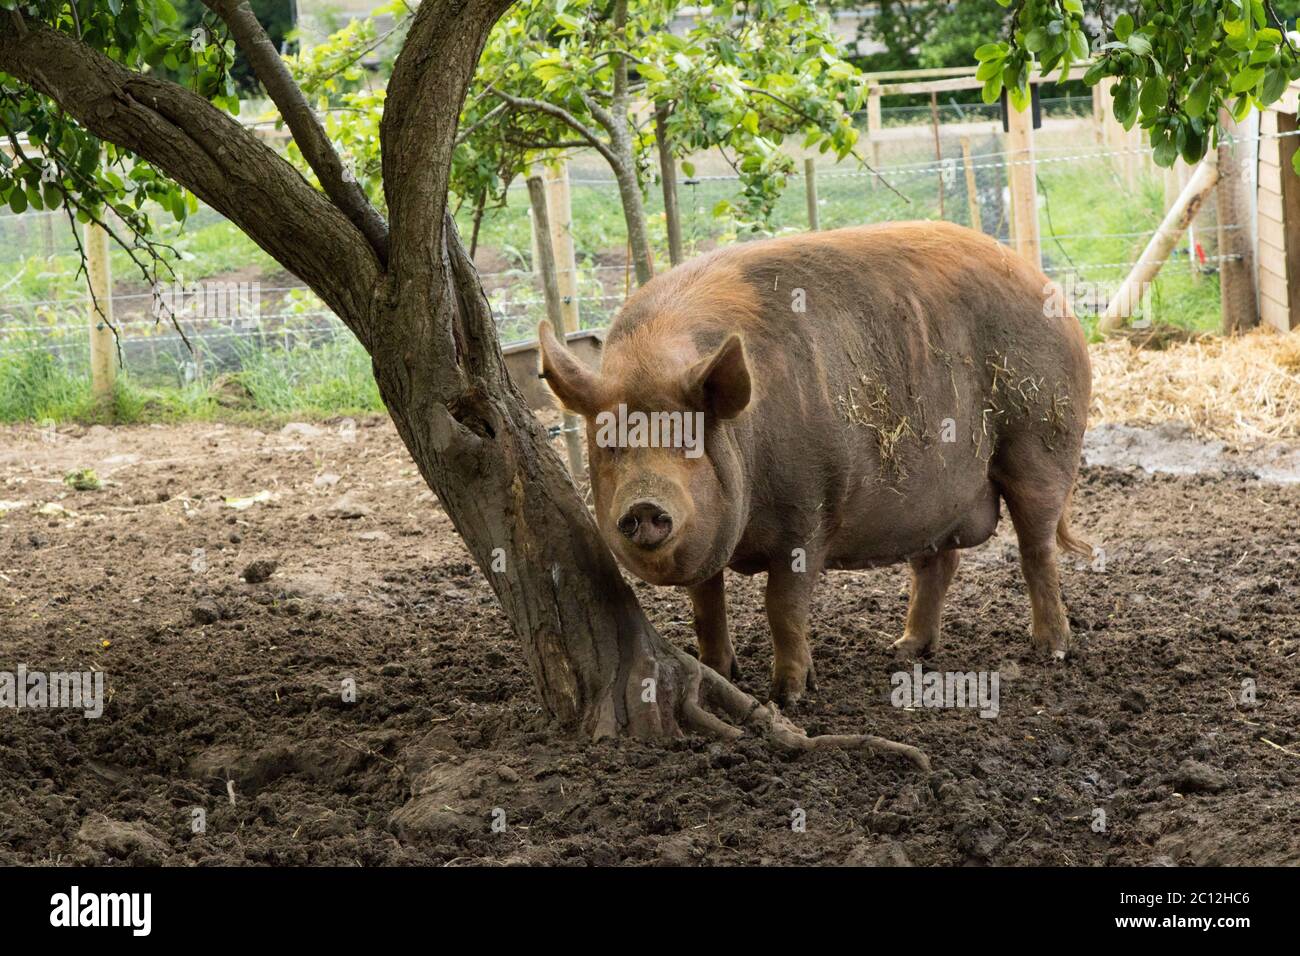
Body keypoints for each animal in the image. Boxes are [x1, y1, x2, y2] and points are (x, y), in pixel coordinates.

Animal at [539, 221, 1091, 707]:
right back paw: (904, 650)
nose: (644, 505)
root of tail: (1048, 288)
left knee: (1037, 547)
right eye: (608, 445)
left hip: (1041, 442)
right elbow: (706, 606)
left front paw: (789, 695)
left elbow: (783, 605)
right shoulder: (708, 539)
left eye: (689, 443)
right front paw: (719, 674)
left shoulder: (808, 510)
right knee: (939, 561)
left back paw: (1051, 649)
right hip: (935, 498)